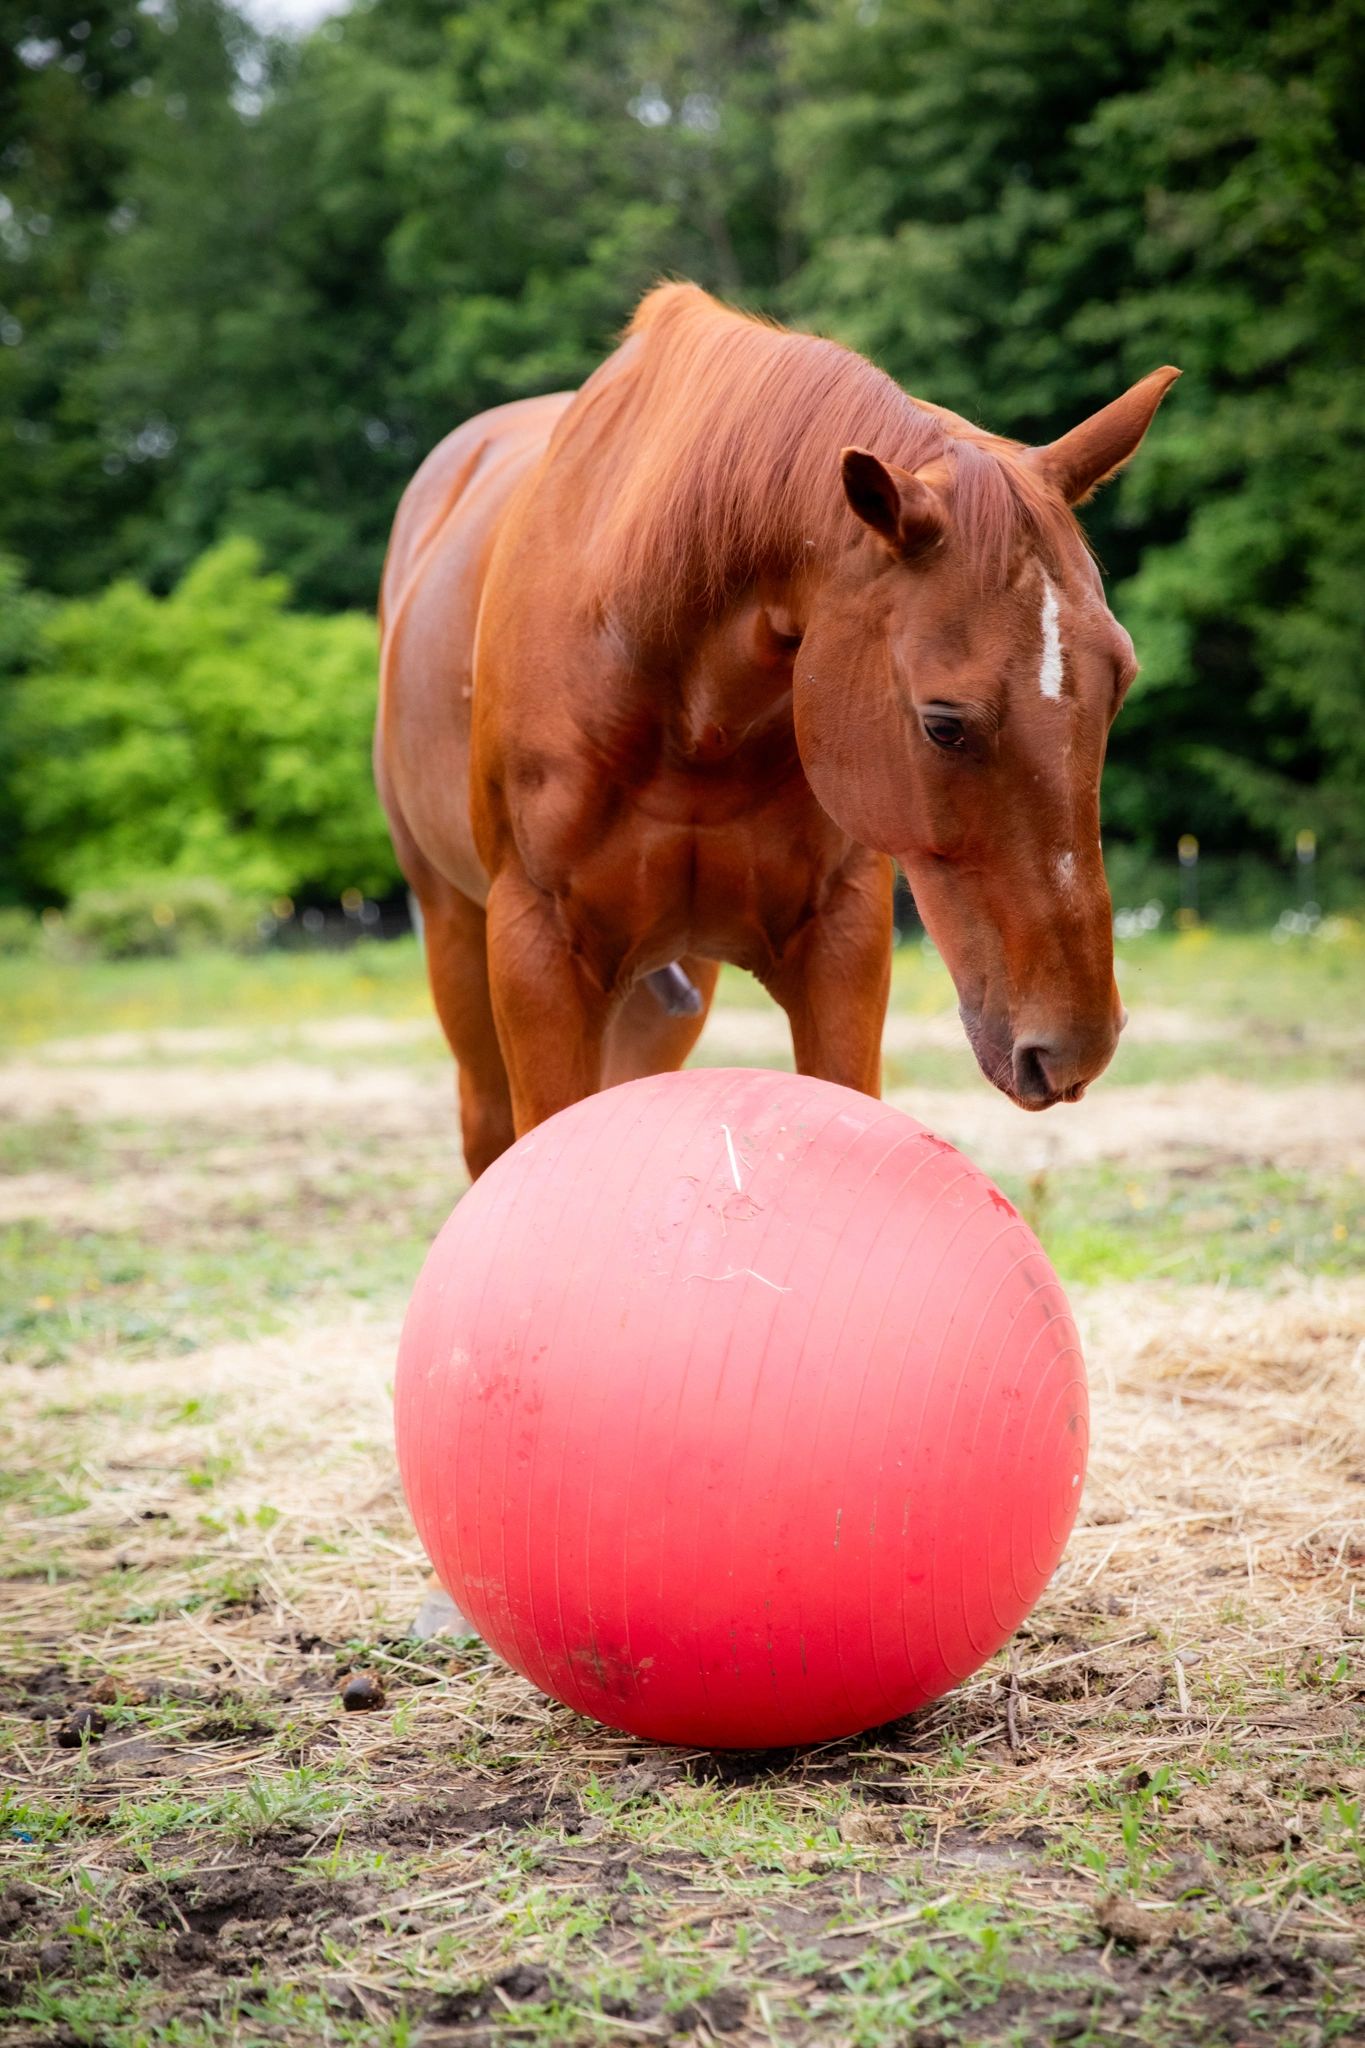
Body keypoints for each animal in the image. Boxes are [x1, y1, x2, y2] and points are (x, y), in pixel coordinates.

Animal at [377, 284, 1177, 1182]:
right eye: (943, 725)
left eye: (1119, 683)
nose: (1076, 1044)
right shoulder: (535, 953)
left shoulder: (839, 943)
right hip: (457, 939)